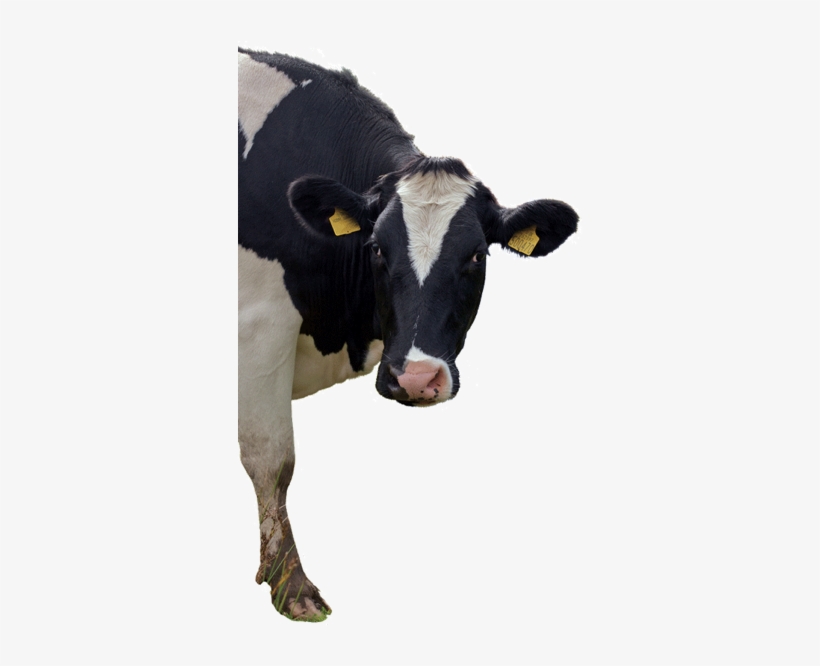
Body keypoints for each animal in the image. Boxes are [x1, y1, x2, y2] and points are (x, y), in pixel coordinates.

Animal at [238, 48, 578, 621]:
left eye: (477, 255)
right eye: (377, 248)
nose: (416, 378)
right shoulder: (260, 325)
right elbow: (272, 459)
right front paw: (292, 586)